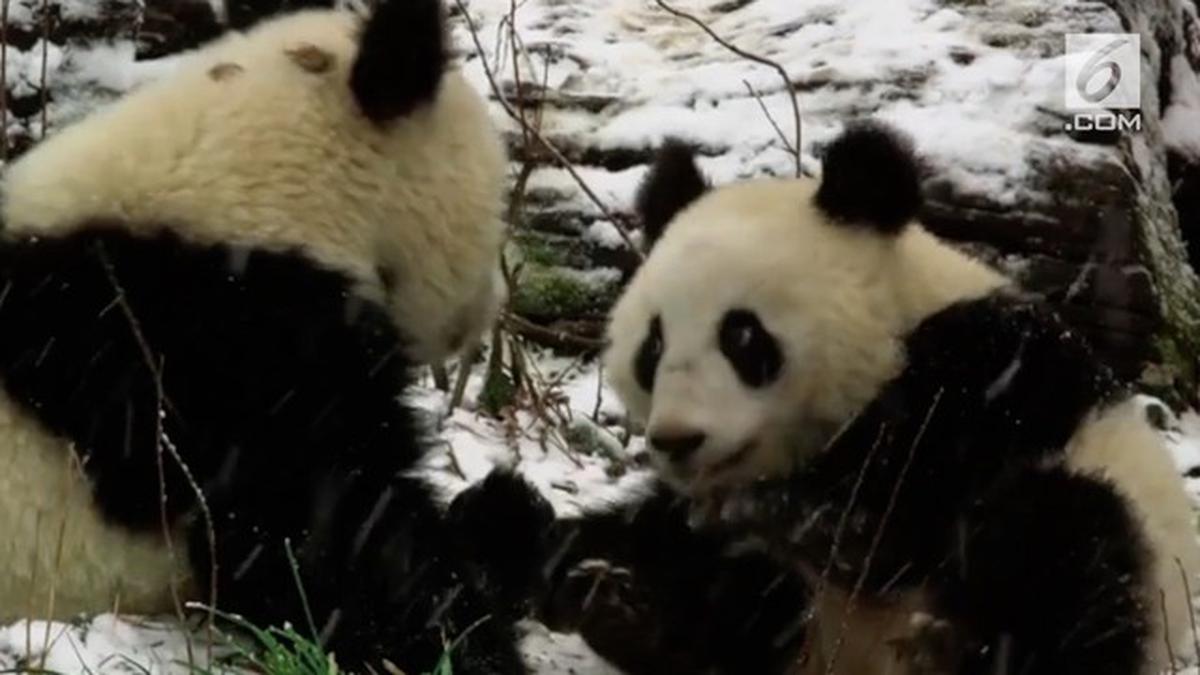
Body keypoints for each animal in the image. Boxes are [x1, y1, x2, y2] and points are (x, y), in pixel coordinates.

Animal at [544, 121, 1200, 675]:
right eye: (653, 345)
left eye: (742, 336)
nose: (678, 439)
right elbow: (659, 531)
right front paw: (578, 564)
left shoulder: (996, 375)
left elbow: (886, 516)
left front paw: (781, 510)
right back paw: (624, 610)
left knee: (1066, 539)